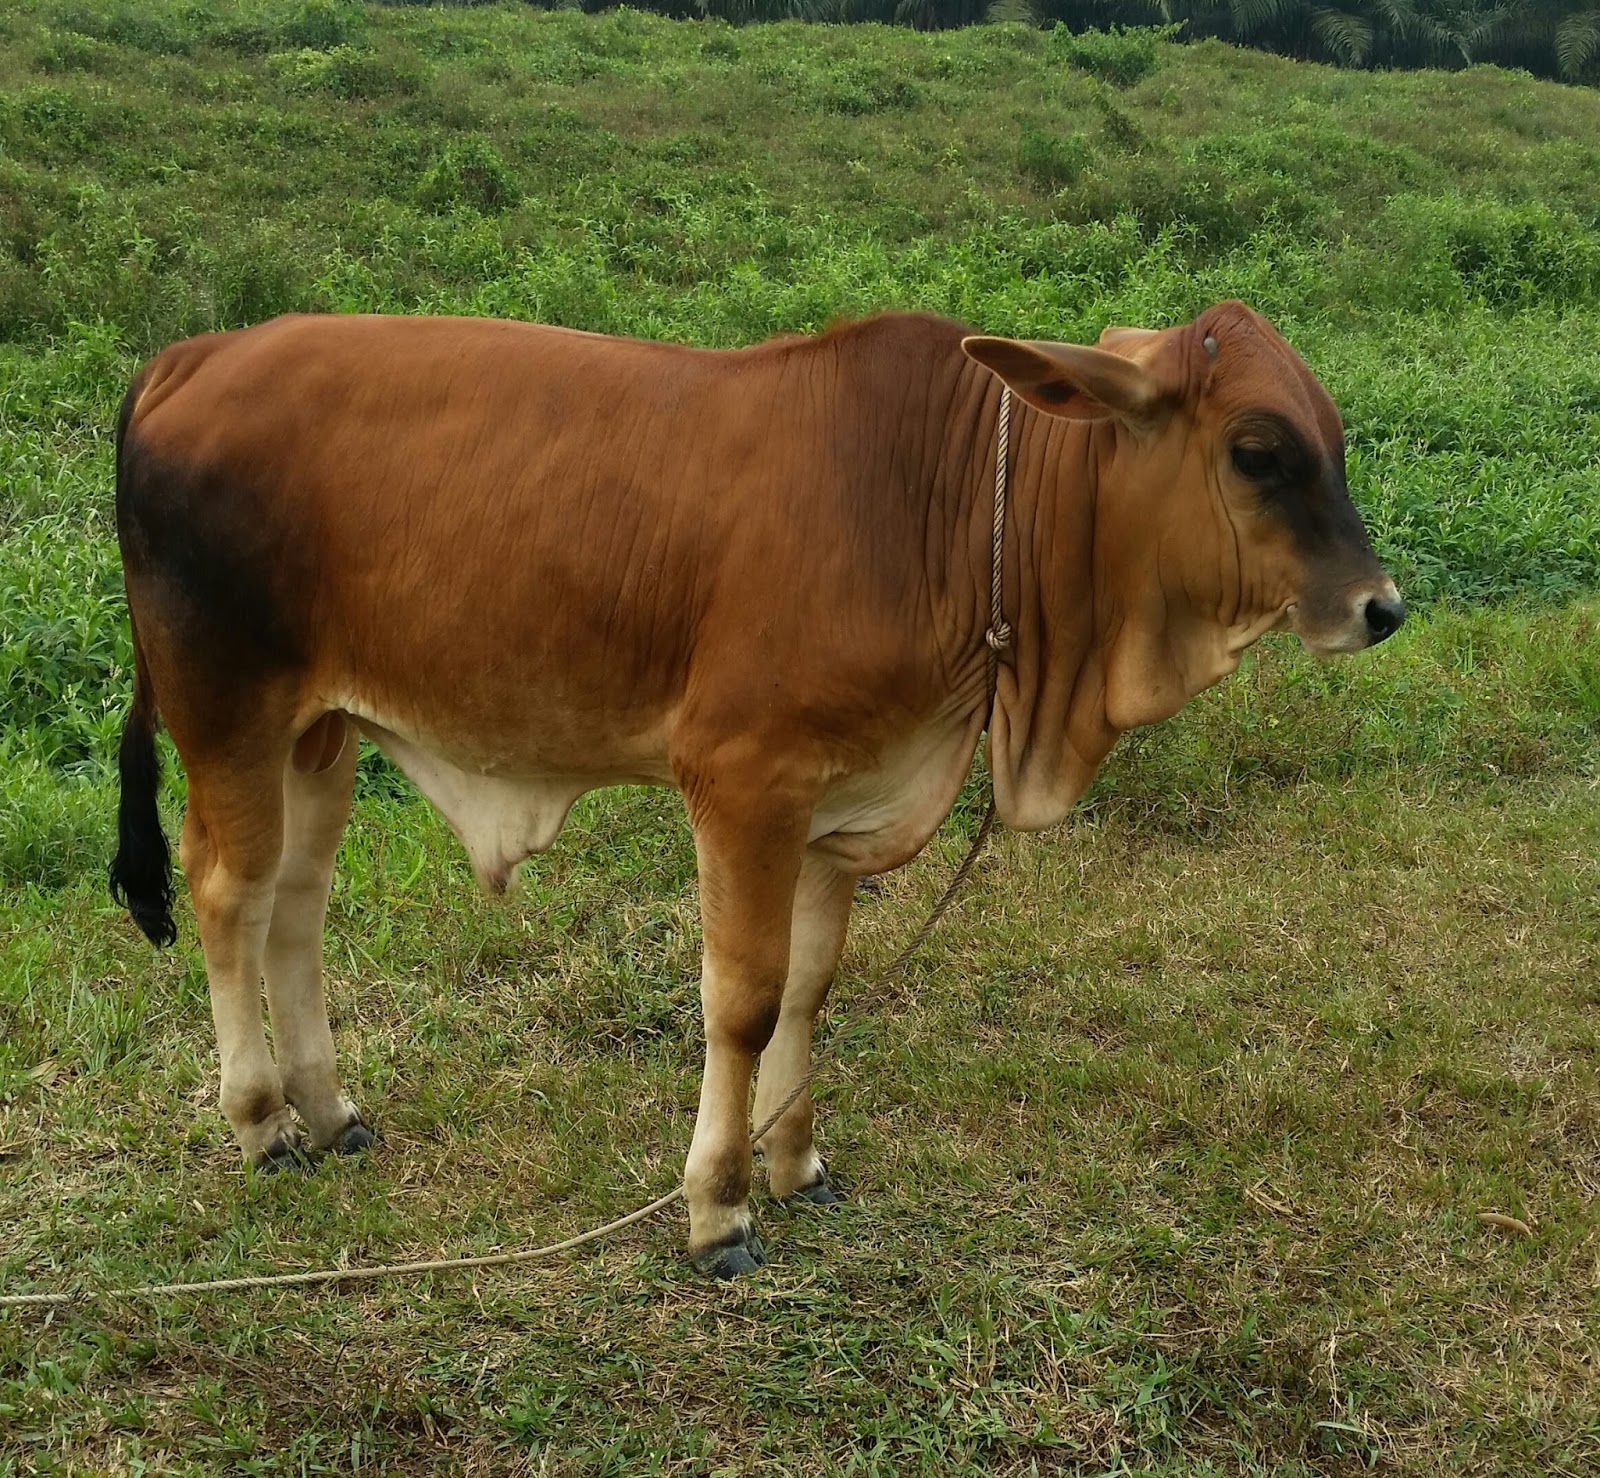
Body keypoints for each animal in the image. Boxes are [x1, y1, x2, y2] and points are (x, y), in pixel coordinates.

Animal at [109, 300, 1401, 1273]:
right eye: (1256, 450)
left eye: (1332, 436)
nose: (1380, 606)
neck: (945, 511)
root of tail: (193, 354)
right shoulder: (742, 784)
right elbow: (741, 998)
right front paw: (719, 1205)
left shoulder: (837, 806)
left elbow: (810, 990)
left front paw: (797, 1162)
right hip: (230, 709)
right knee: (229, 892)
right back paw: (263, 1122)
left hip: (321, 730)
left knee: (296, 905)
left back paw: (330, 1111)